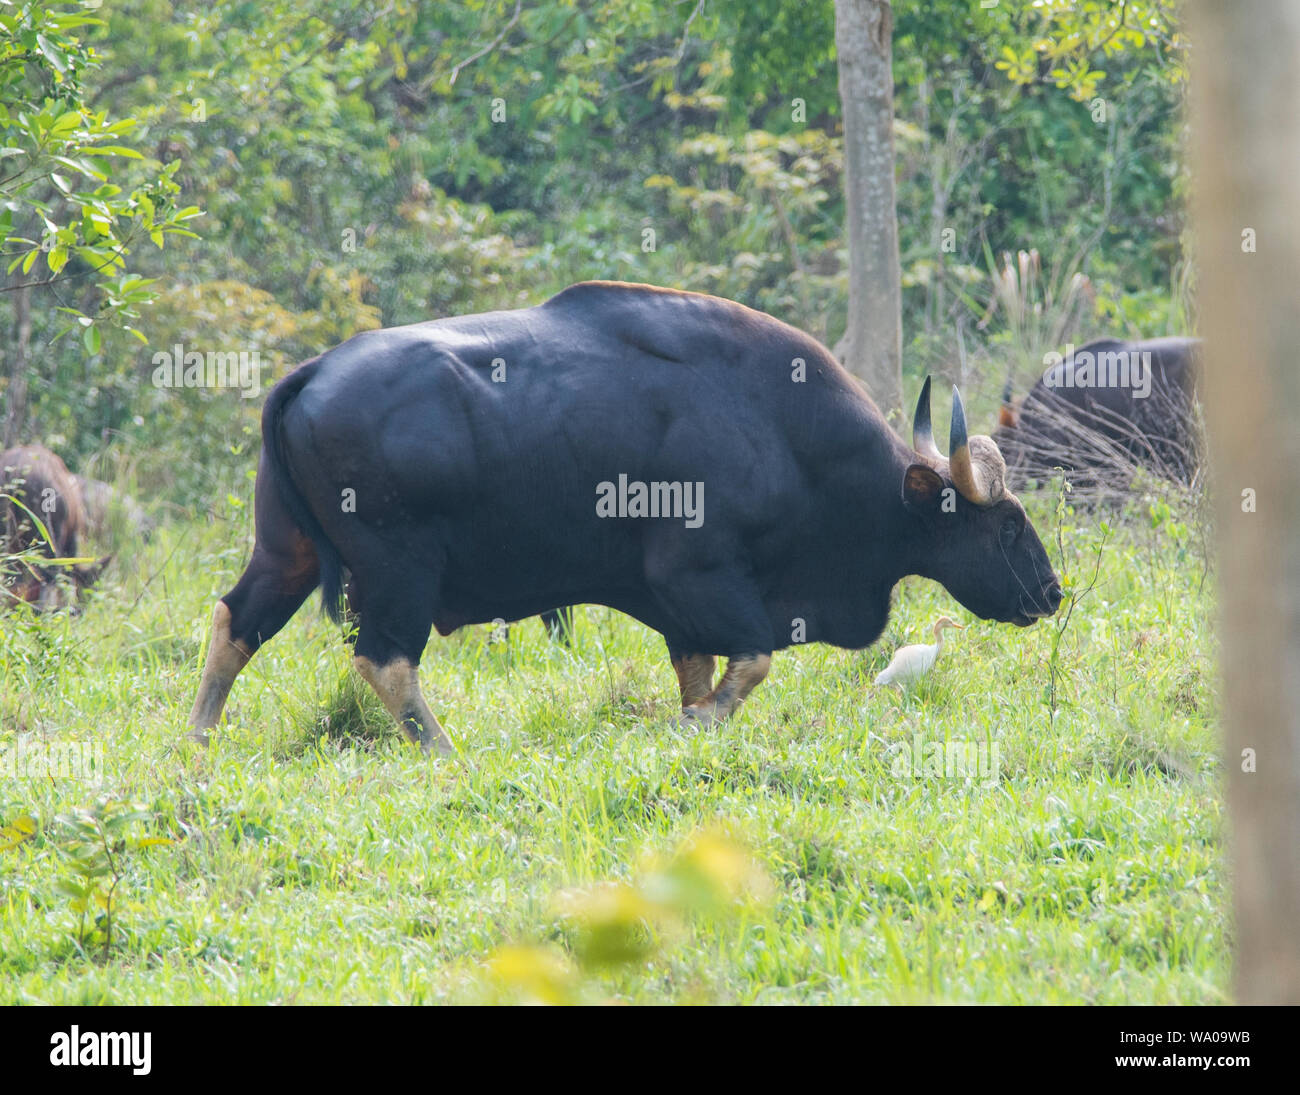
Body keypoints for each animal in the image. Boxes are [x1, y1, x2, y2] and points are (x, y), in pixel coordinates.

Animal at [188, 281, 1063, 753]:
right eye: (1008, 524)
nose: (1053, 593)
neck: (784, 432)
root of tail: (311, 373)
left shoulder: (684, 610)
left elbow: (702, 677)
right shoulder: (700, 575)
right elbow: (751, 666)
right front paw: (689, 733)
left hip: (287, 549)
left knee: (236, 619)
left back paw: (197, 742)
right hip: (399, 568)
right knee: (384, 659)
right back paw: (442, 748)